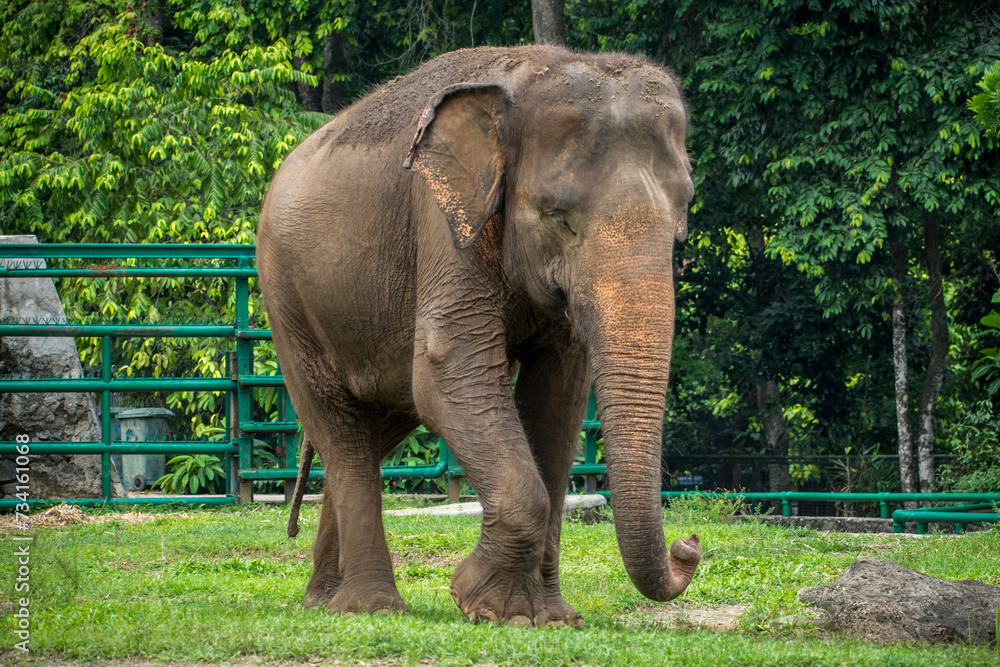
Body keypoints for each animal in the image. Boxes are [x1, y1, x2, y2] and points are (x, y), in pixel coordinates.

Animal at [257, 44, 701, 627]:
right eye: (560, 218)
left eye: (682, 216)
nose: (689, 545)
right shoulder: (441, 221)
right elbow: (447, 371)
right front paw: (496, 610)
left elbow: (558, 398)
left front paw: (552, 618)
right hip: (286, 296)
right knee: (340, 424)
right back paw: (371, 608)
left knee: (376, 426)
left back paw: (325, 600)